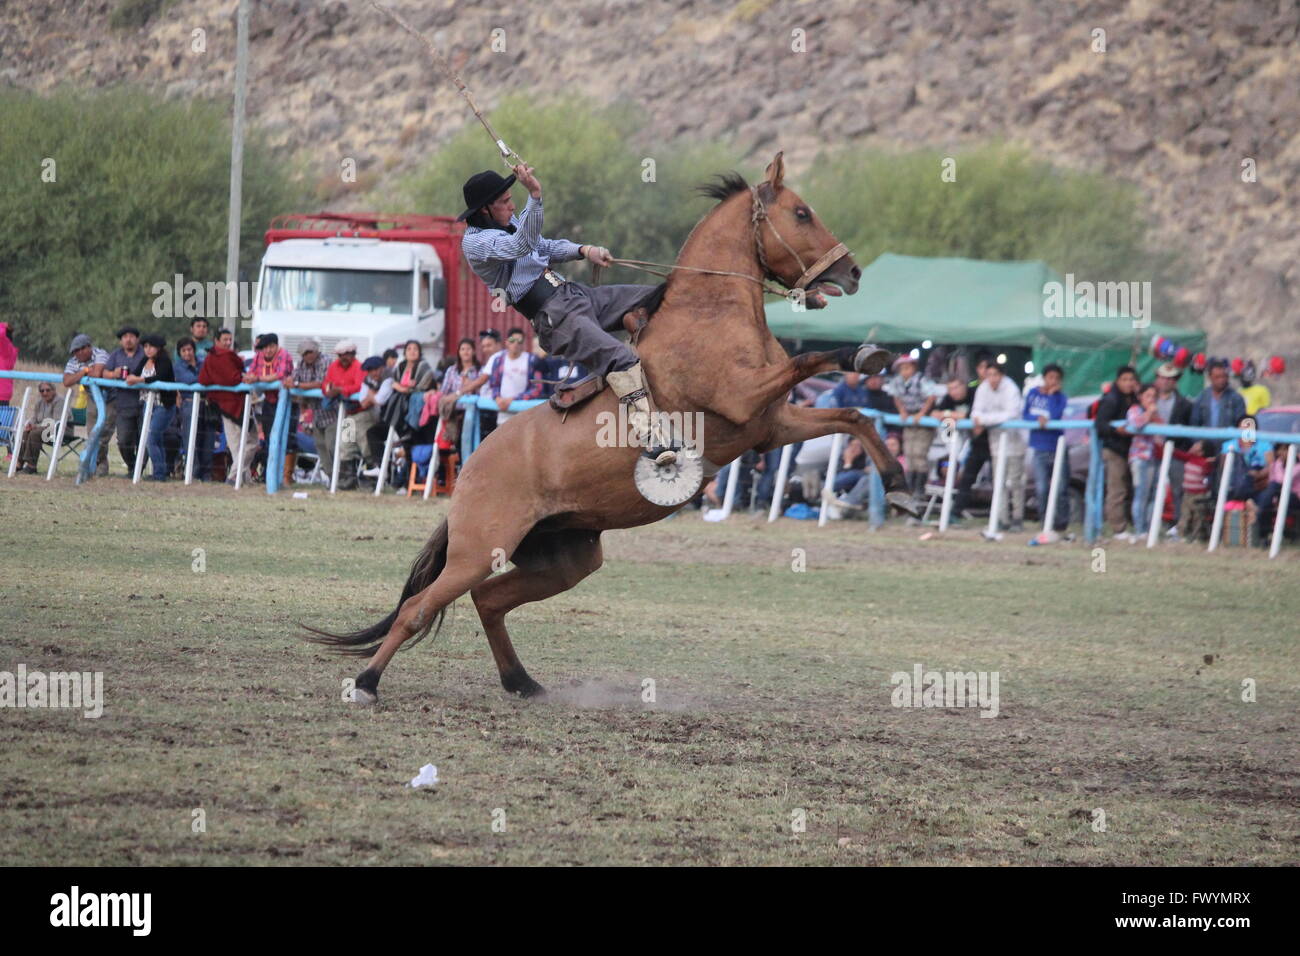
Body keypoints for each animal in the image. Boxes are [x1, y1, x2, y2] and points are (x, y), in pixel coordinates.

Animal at [309, 151, 910, 703]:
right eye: (802, 212)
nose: (853, 272)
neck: (710, 314)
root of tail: (471, 471)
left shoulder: (770, 425)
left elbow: (852, 414)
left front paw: (899, 484)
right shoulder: (744, 399)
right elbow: (811, 361)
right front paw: (865, 355)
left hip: (565, 557)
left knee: (488, 600)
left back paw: (522, 682)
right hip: (480, 549)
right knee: (419, 607)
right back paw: (366, 683)